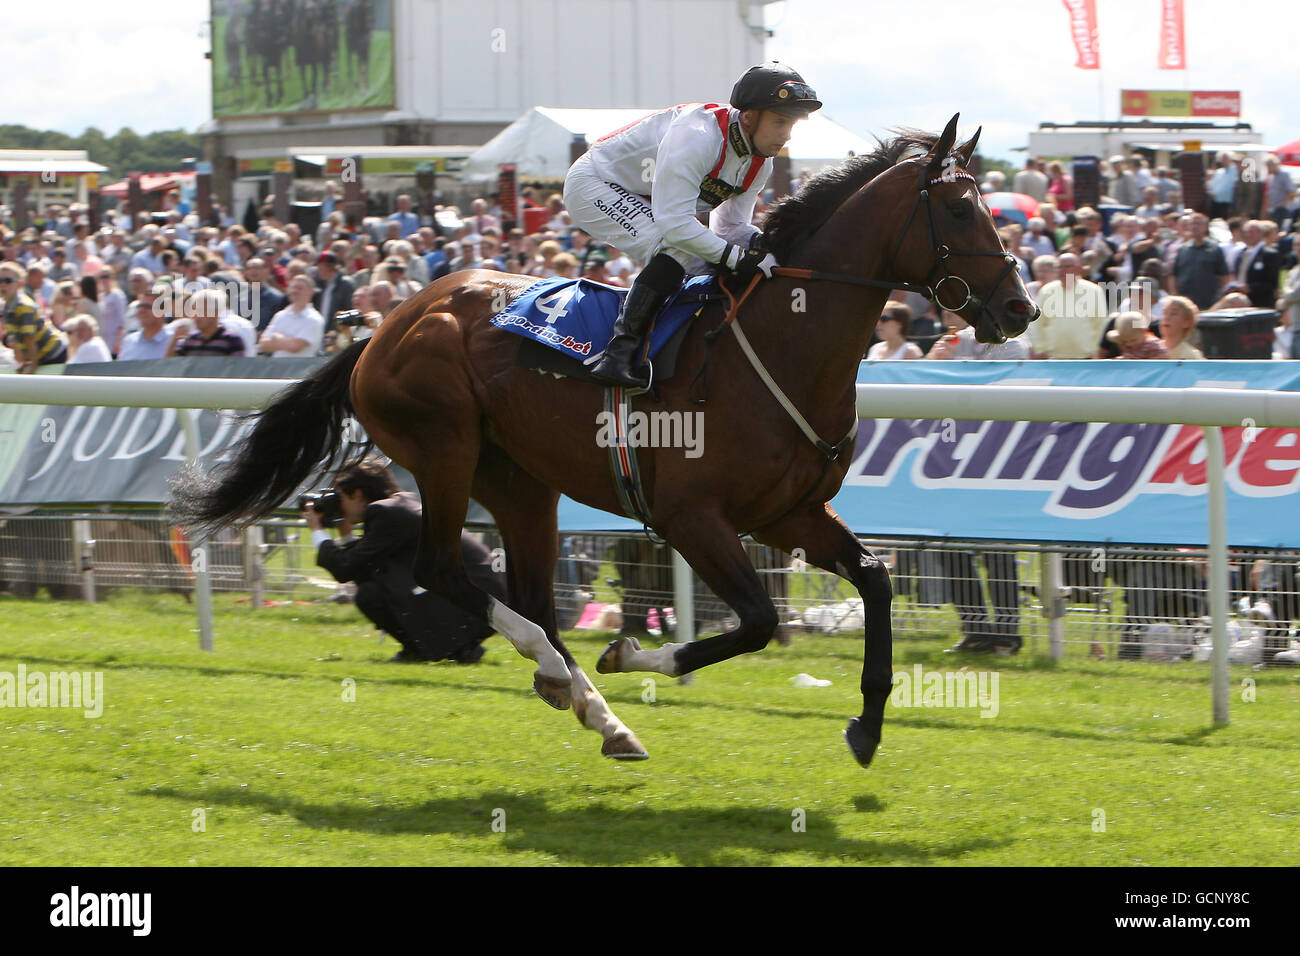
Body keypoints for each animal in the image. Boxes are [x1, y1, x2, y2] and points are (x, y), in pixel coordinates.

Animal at [172, 115, 1038, 767]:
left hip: (521, 481)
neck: (779, 345)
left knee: (526, 593)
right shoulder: (693, 517)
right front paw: (631, 656)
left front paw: (866, 725)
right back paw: (568, 677)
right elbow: (759, 621)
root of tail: (383, 327)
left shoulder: (787, 515)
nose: (1020, 308)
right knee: (442, 570)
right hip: (446, 450)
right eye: (958, 210)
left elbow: (877, 581)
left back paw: (593, 710)